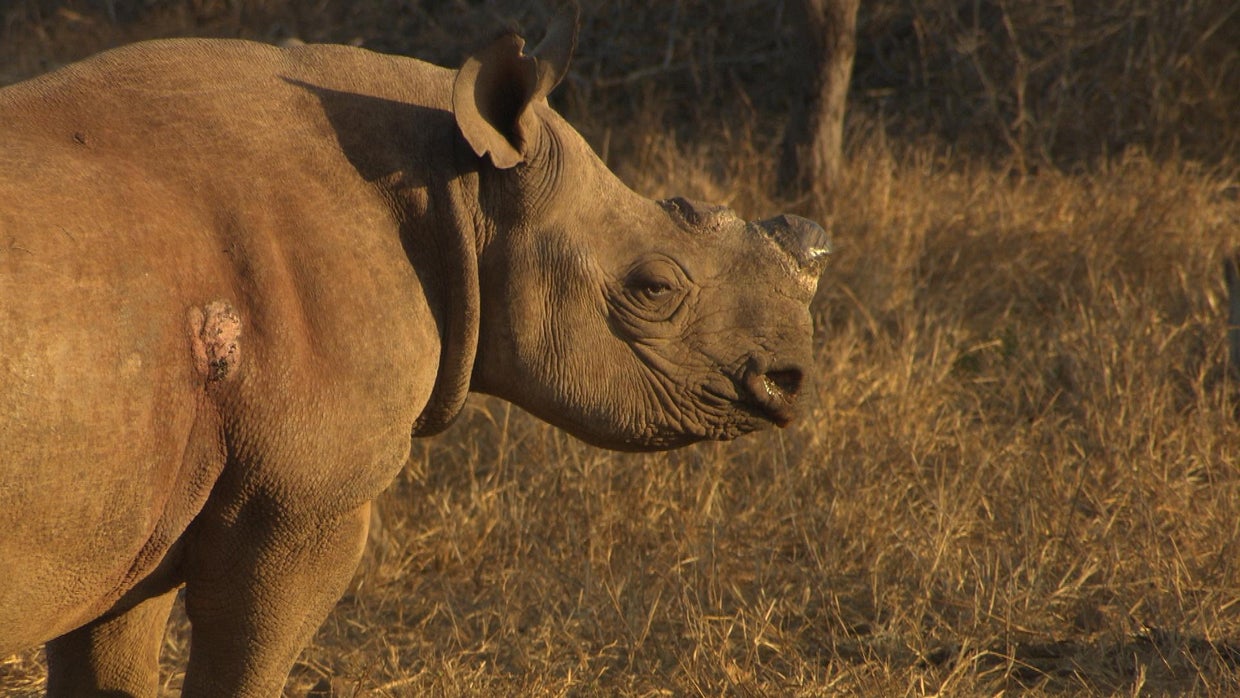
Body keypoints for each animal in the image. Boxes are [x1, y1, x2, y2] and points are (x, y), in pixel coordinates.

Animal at [0, 6, 829, 696]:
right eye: (654, 288)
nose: (790, 379)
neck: (459, 186)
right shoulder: (298, 500)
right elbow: (247, 665)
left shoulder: (132, 513)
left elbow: (108, 660)